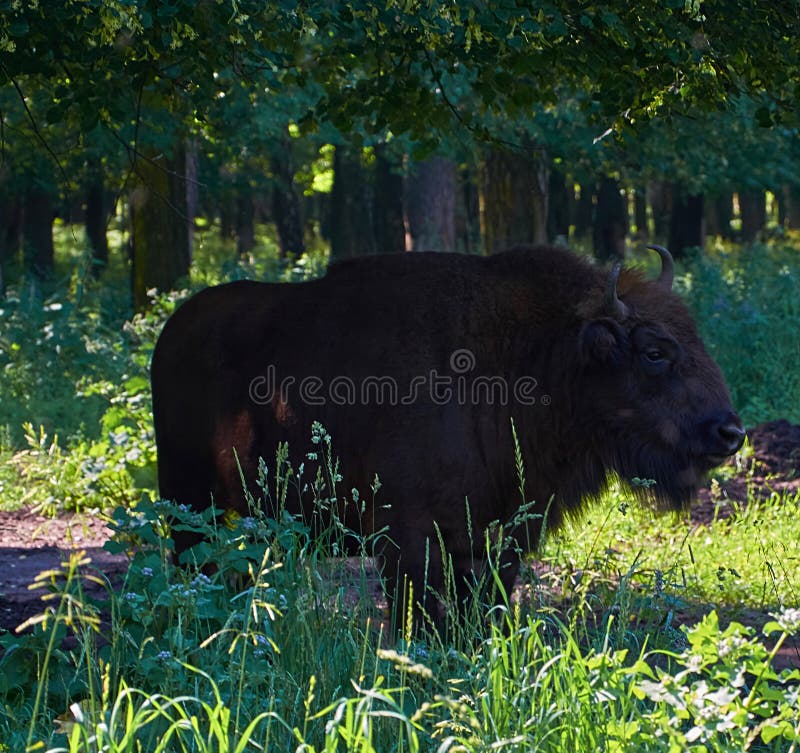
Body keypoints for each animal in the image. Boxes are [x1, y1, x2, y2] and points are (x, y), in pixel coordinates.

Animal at [151, 244, 744, 626]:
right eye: (654, 351)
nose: (730, 432)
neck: (527, 358)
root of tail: (172, 334)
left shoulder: (497, 540)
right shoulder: (407, 539)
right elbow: (421, 617)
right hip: (191, 507)